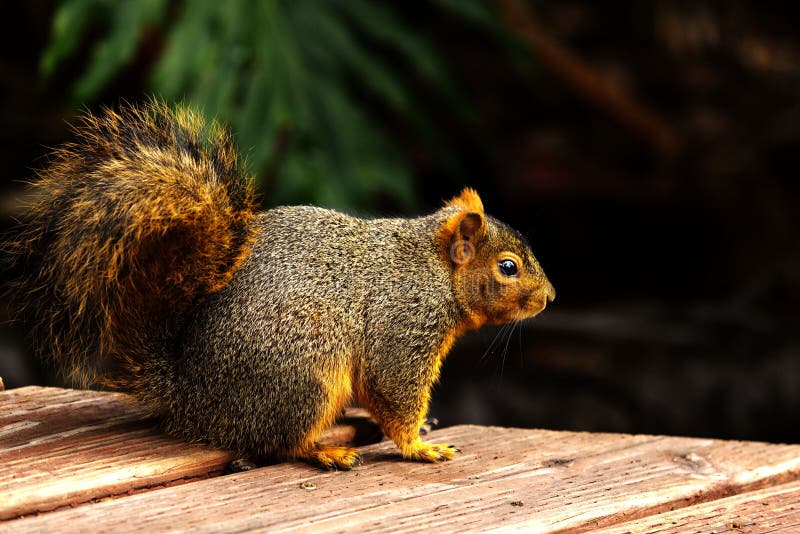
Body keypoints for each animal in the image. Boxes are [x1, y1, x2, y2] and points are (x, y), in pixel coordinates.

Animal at [6, 100, 555, 470]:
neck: (434, 271)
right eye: (508, 267)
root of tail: (188, 394)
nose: (550, 297)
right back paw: (326, 452)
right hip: (305, 373)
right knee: (279, 441)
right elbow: (395, 391)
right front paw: (420, 445)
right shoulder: (403, 328)